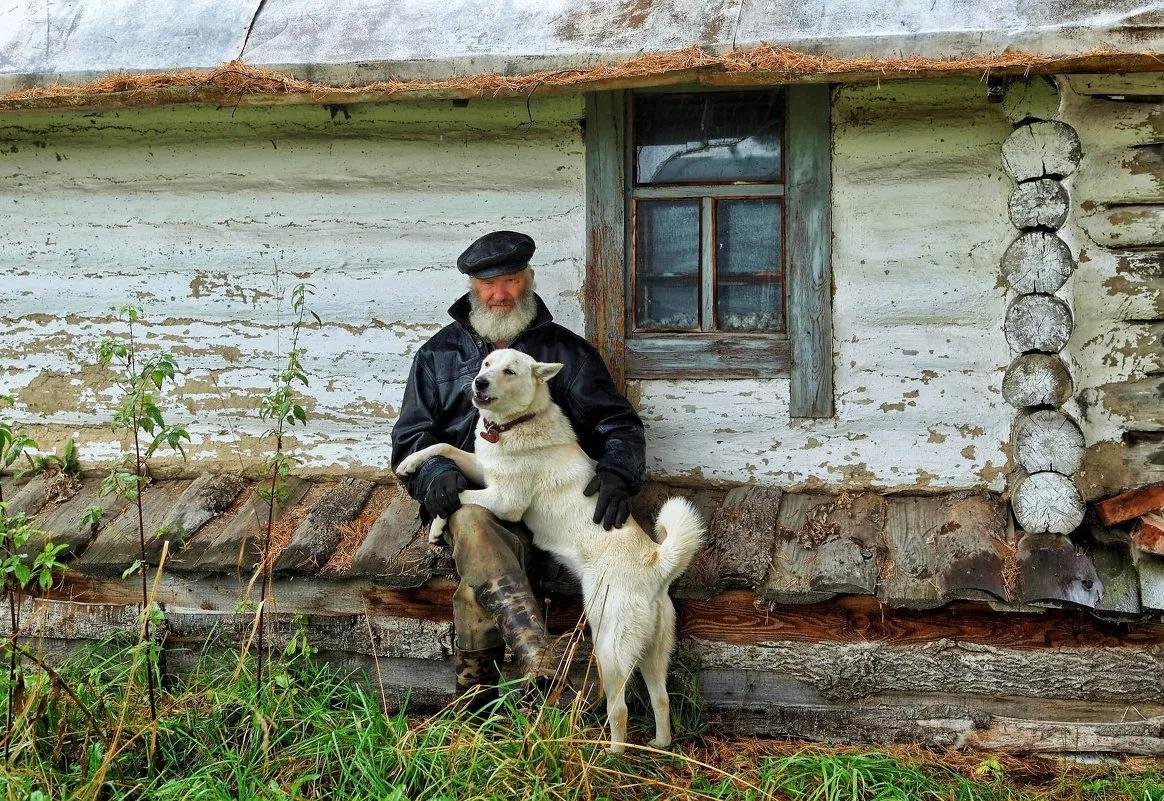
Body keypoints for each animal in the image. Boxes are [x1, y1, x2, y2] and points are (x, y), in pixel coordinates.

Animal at [395, 349, 703, 749]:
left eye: (509, 371)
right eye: (486, 364)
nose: (479, 382)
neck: (515, 425)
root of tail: (655, 563)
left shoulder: (503, 499)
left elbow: (460, 499)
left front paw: (436, 521)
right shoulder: (482, 468)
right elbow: (444, 449)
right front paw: (412, 465)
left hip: (609, 646)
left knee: (619, 708)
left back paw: (609, 753)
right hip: (652, 651)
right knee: (660, 698)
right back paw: (659, 745)